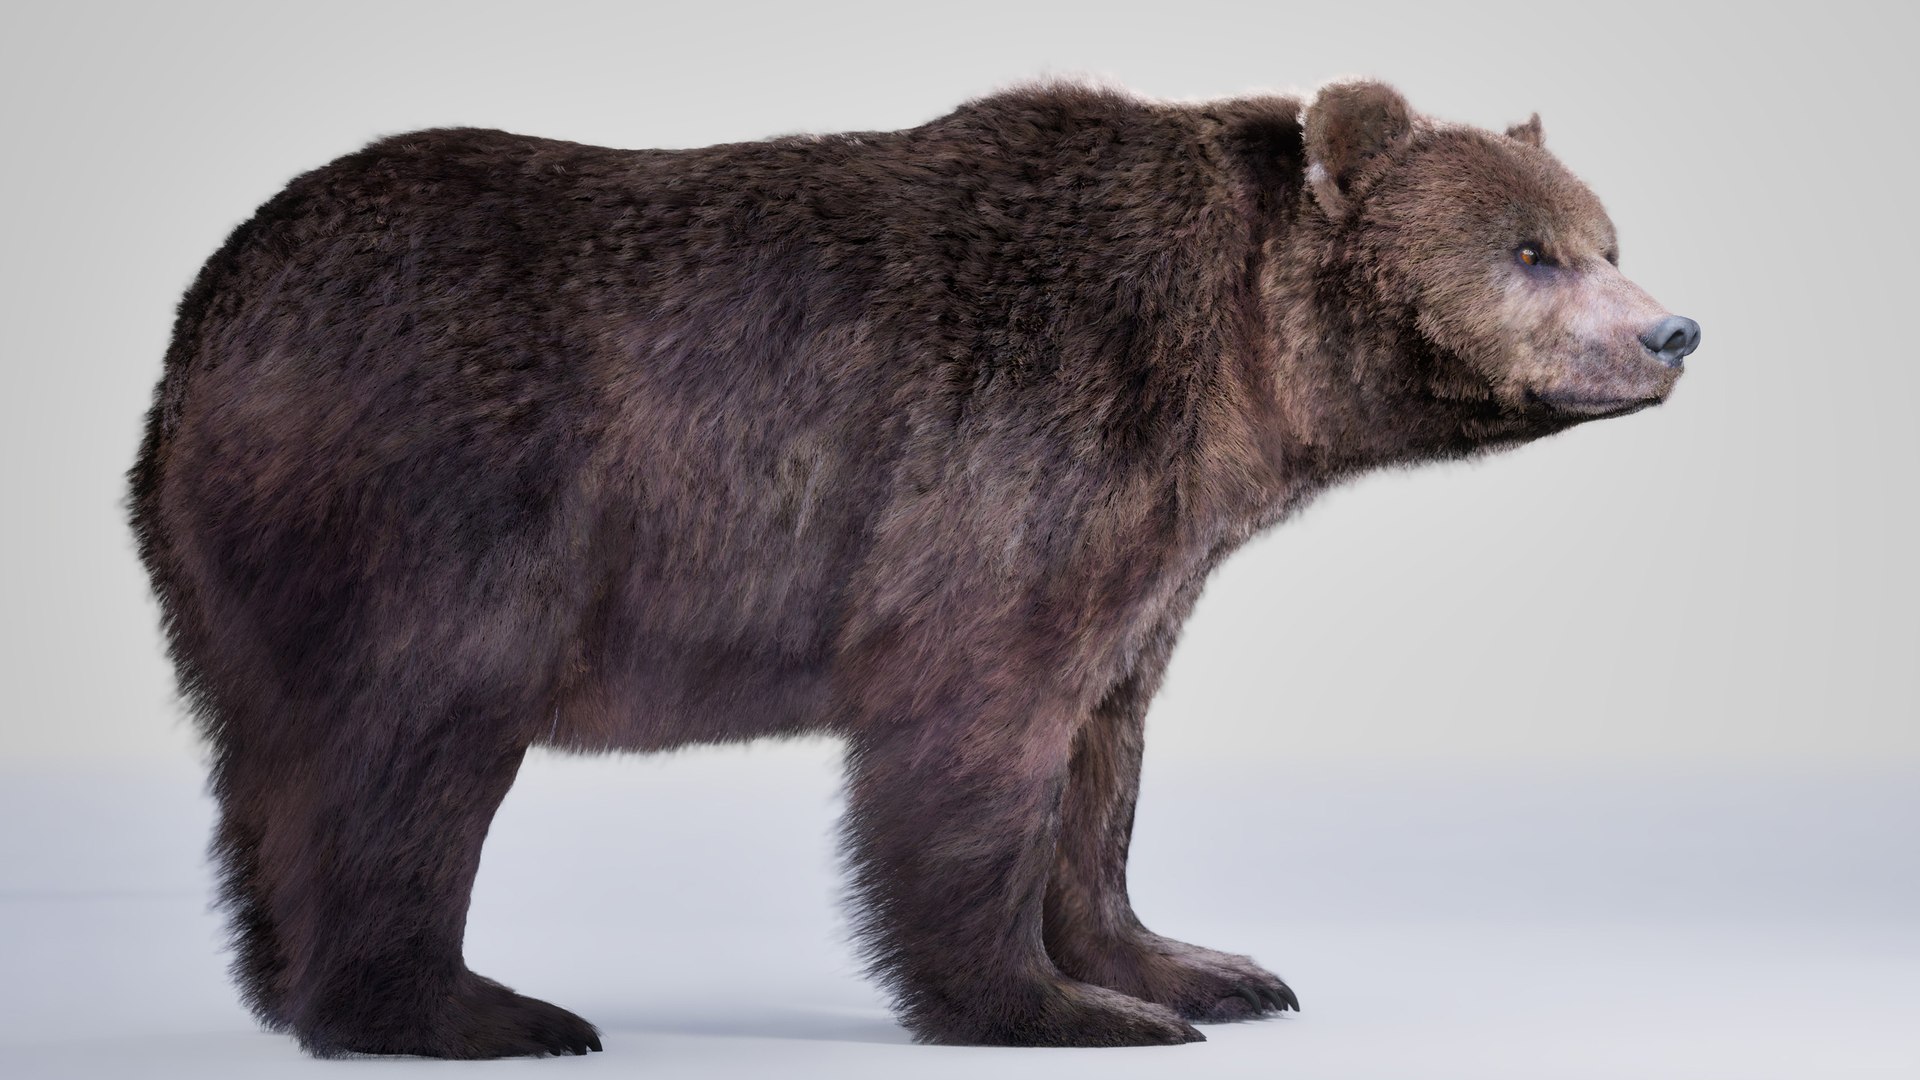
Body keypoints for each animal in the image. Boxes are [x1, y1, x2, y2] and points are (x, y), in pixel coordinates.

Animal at [127, 78, 1698, 1058]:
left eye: (1606, 234)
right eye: (1532, 250)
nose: (1672, 330)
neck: (1234, 382)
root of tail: (212, 304)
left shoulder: (1158, 544)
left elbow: (1104, 751)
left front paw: (1196, 966)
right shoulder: (1019, 452)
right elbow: (976, 728)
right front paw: (1055, 1006)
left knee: (277, 763)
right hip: (438, 500)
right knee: (411, 740)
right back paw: (472, 1012)